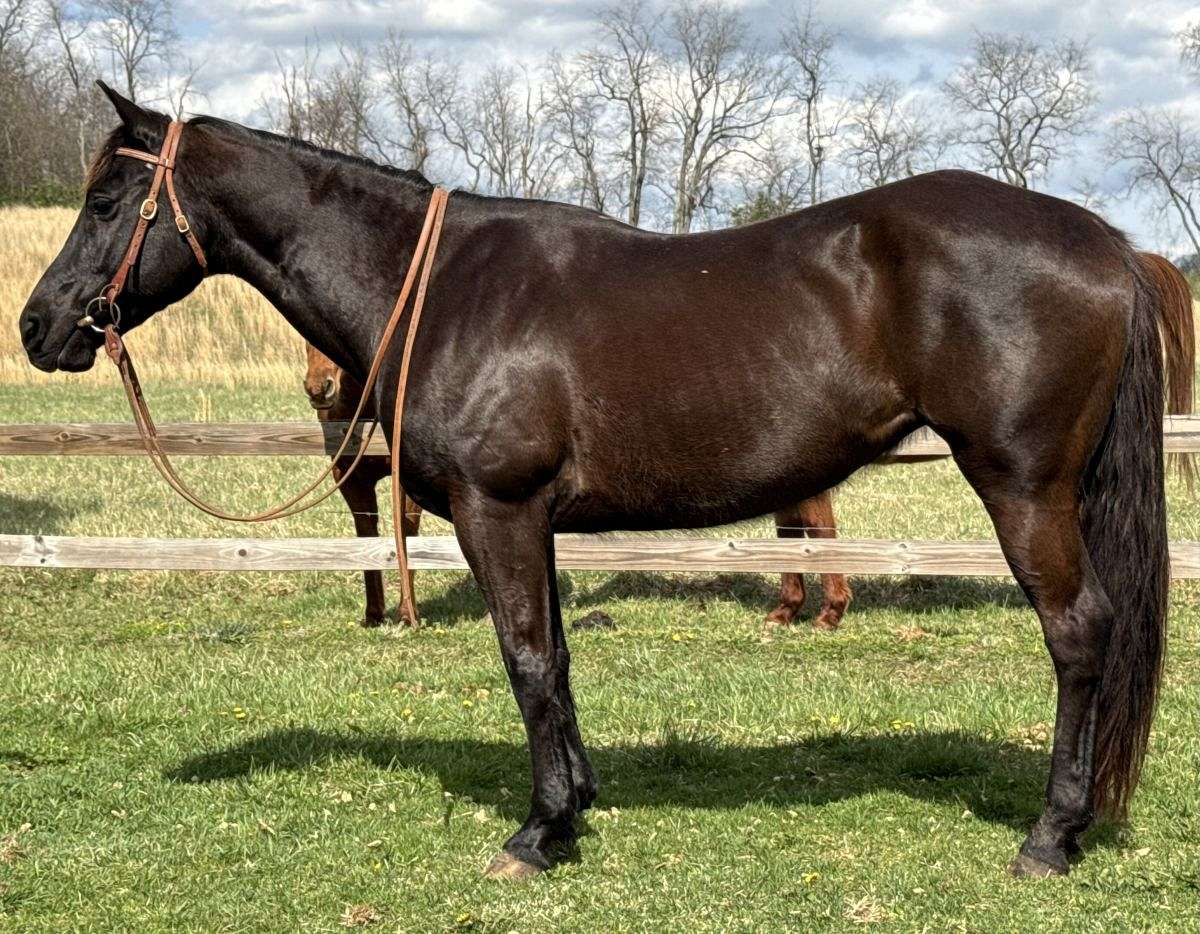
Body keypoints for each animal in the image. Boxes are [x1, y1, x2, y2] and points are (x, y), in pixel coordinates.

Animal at [306, 343, 850, 629]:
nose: (319, 389)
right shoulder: (351, 481)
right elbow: (368, 537)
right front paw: (376, 613)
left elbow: (400, 532)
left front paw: (406, 614)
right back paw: (790, 609)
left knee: (816, 531)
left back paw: (825, 611)